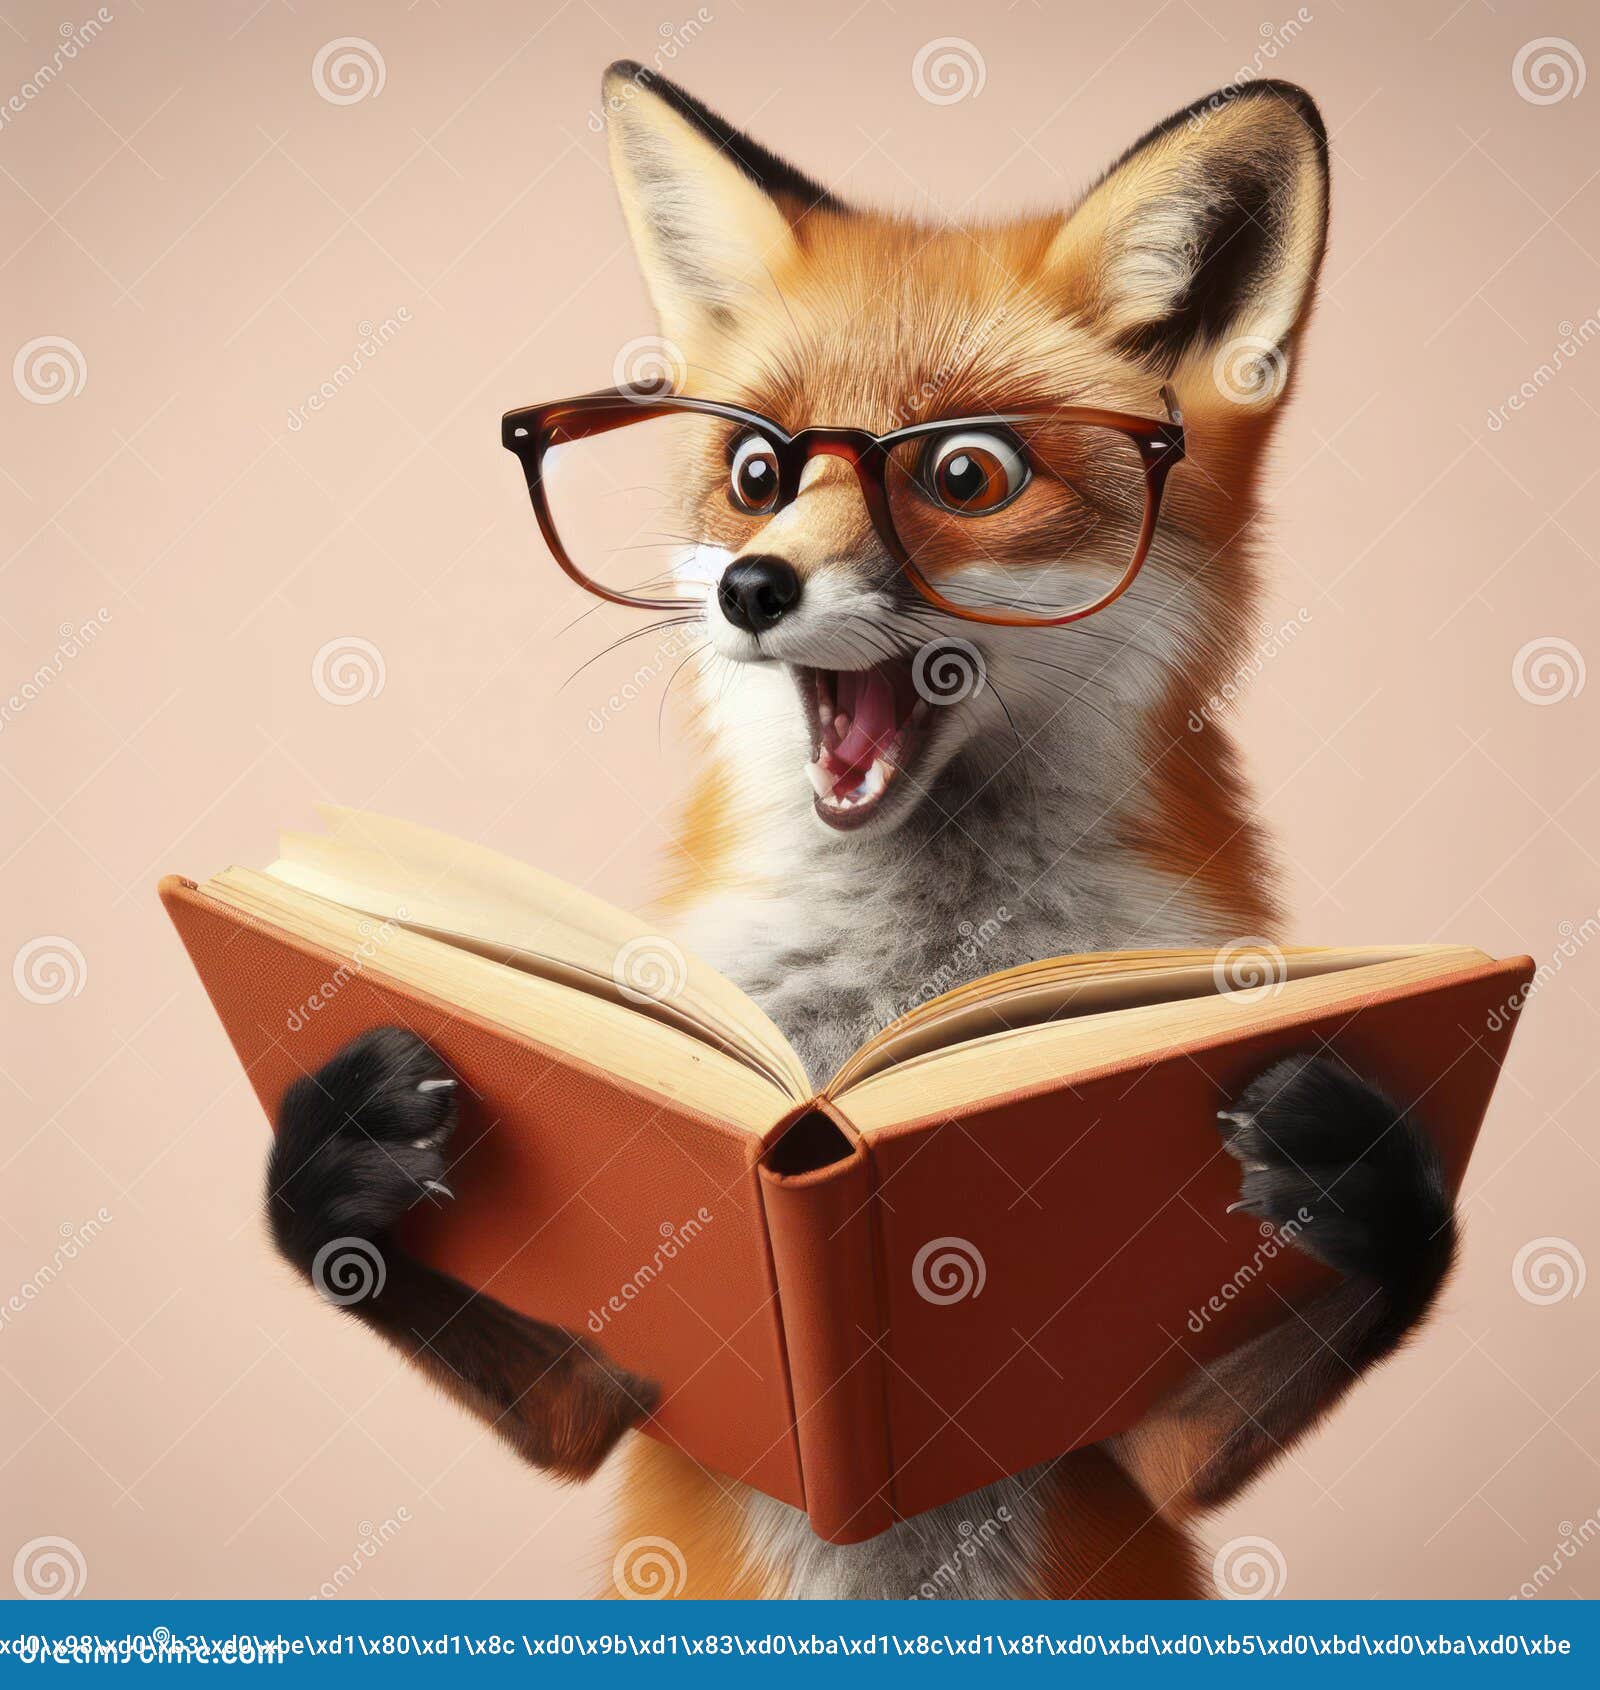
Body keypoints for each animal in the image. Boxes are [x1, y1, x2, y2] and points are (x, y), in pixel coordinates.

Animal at [266, 64, 1458, 1599]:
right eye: (757, 475)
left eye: (967, 476)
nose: (754, 588)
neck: (911, 970)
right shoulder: (619, 1380)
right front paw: (343, 1154)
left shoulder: (1152, 1446)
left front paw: (1363, 1176)